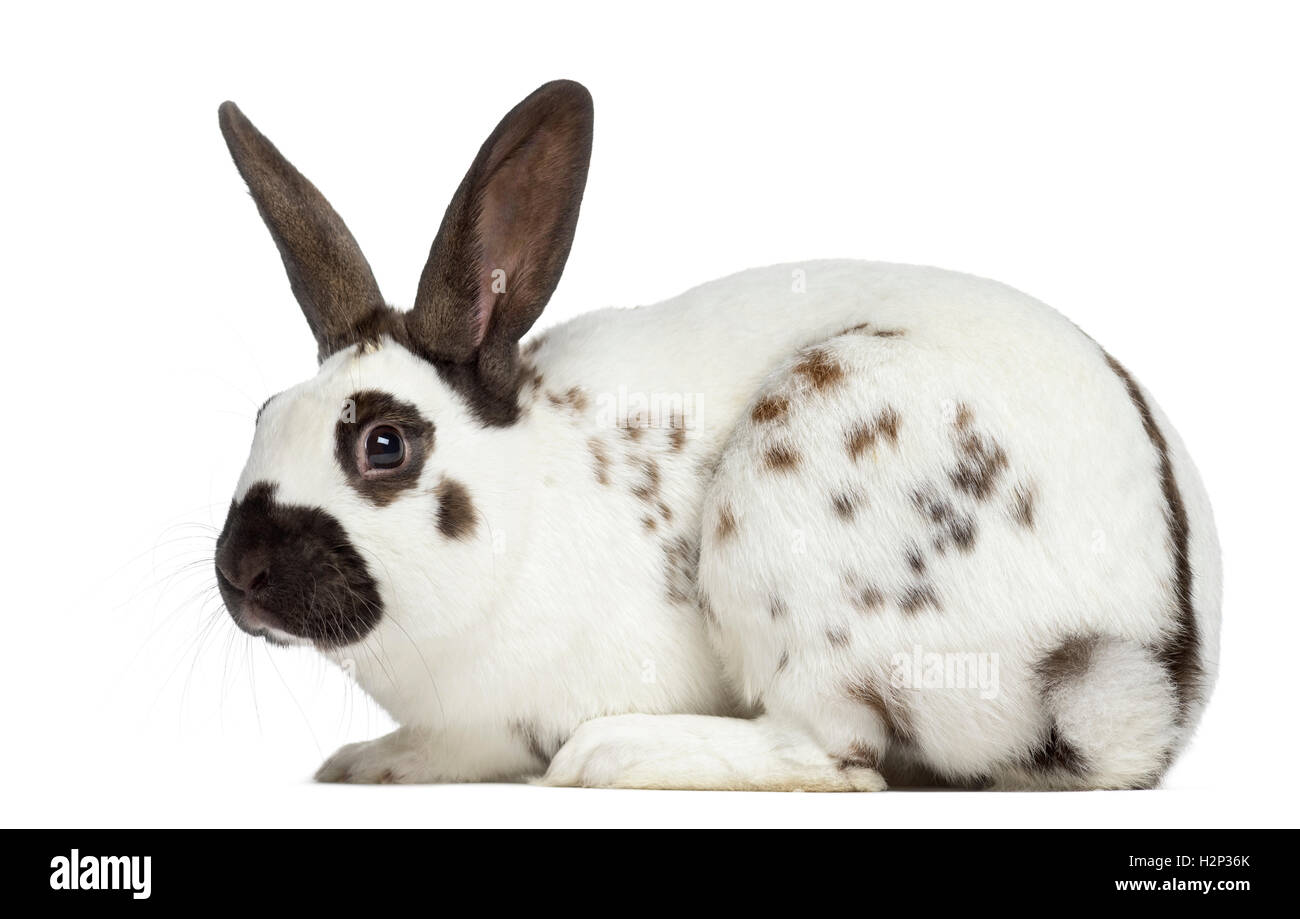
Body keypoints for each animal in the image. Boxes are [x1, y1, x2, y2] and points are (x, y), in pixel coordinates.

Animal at [214, 79, 1221, 791]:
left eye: (385, 443)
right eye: (263, 413)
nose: (241, 571)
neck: (531, 493)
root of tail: (1134, 666)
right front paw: (367, 762)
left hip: (793, 530)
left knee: (836, 752)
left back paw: (613, 754)